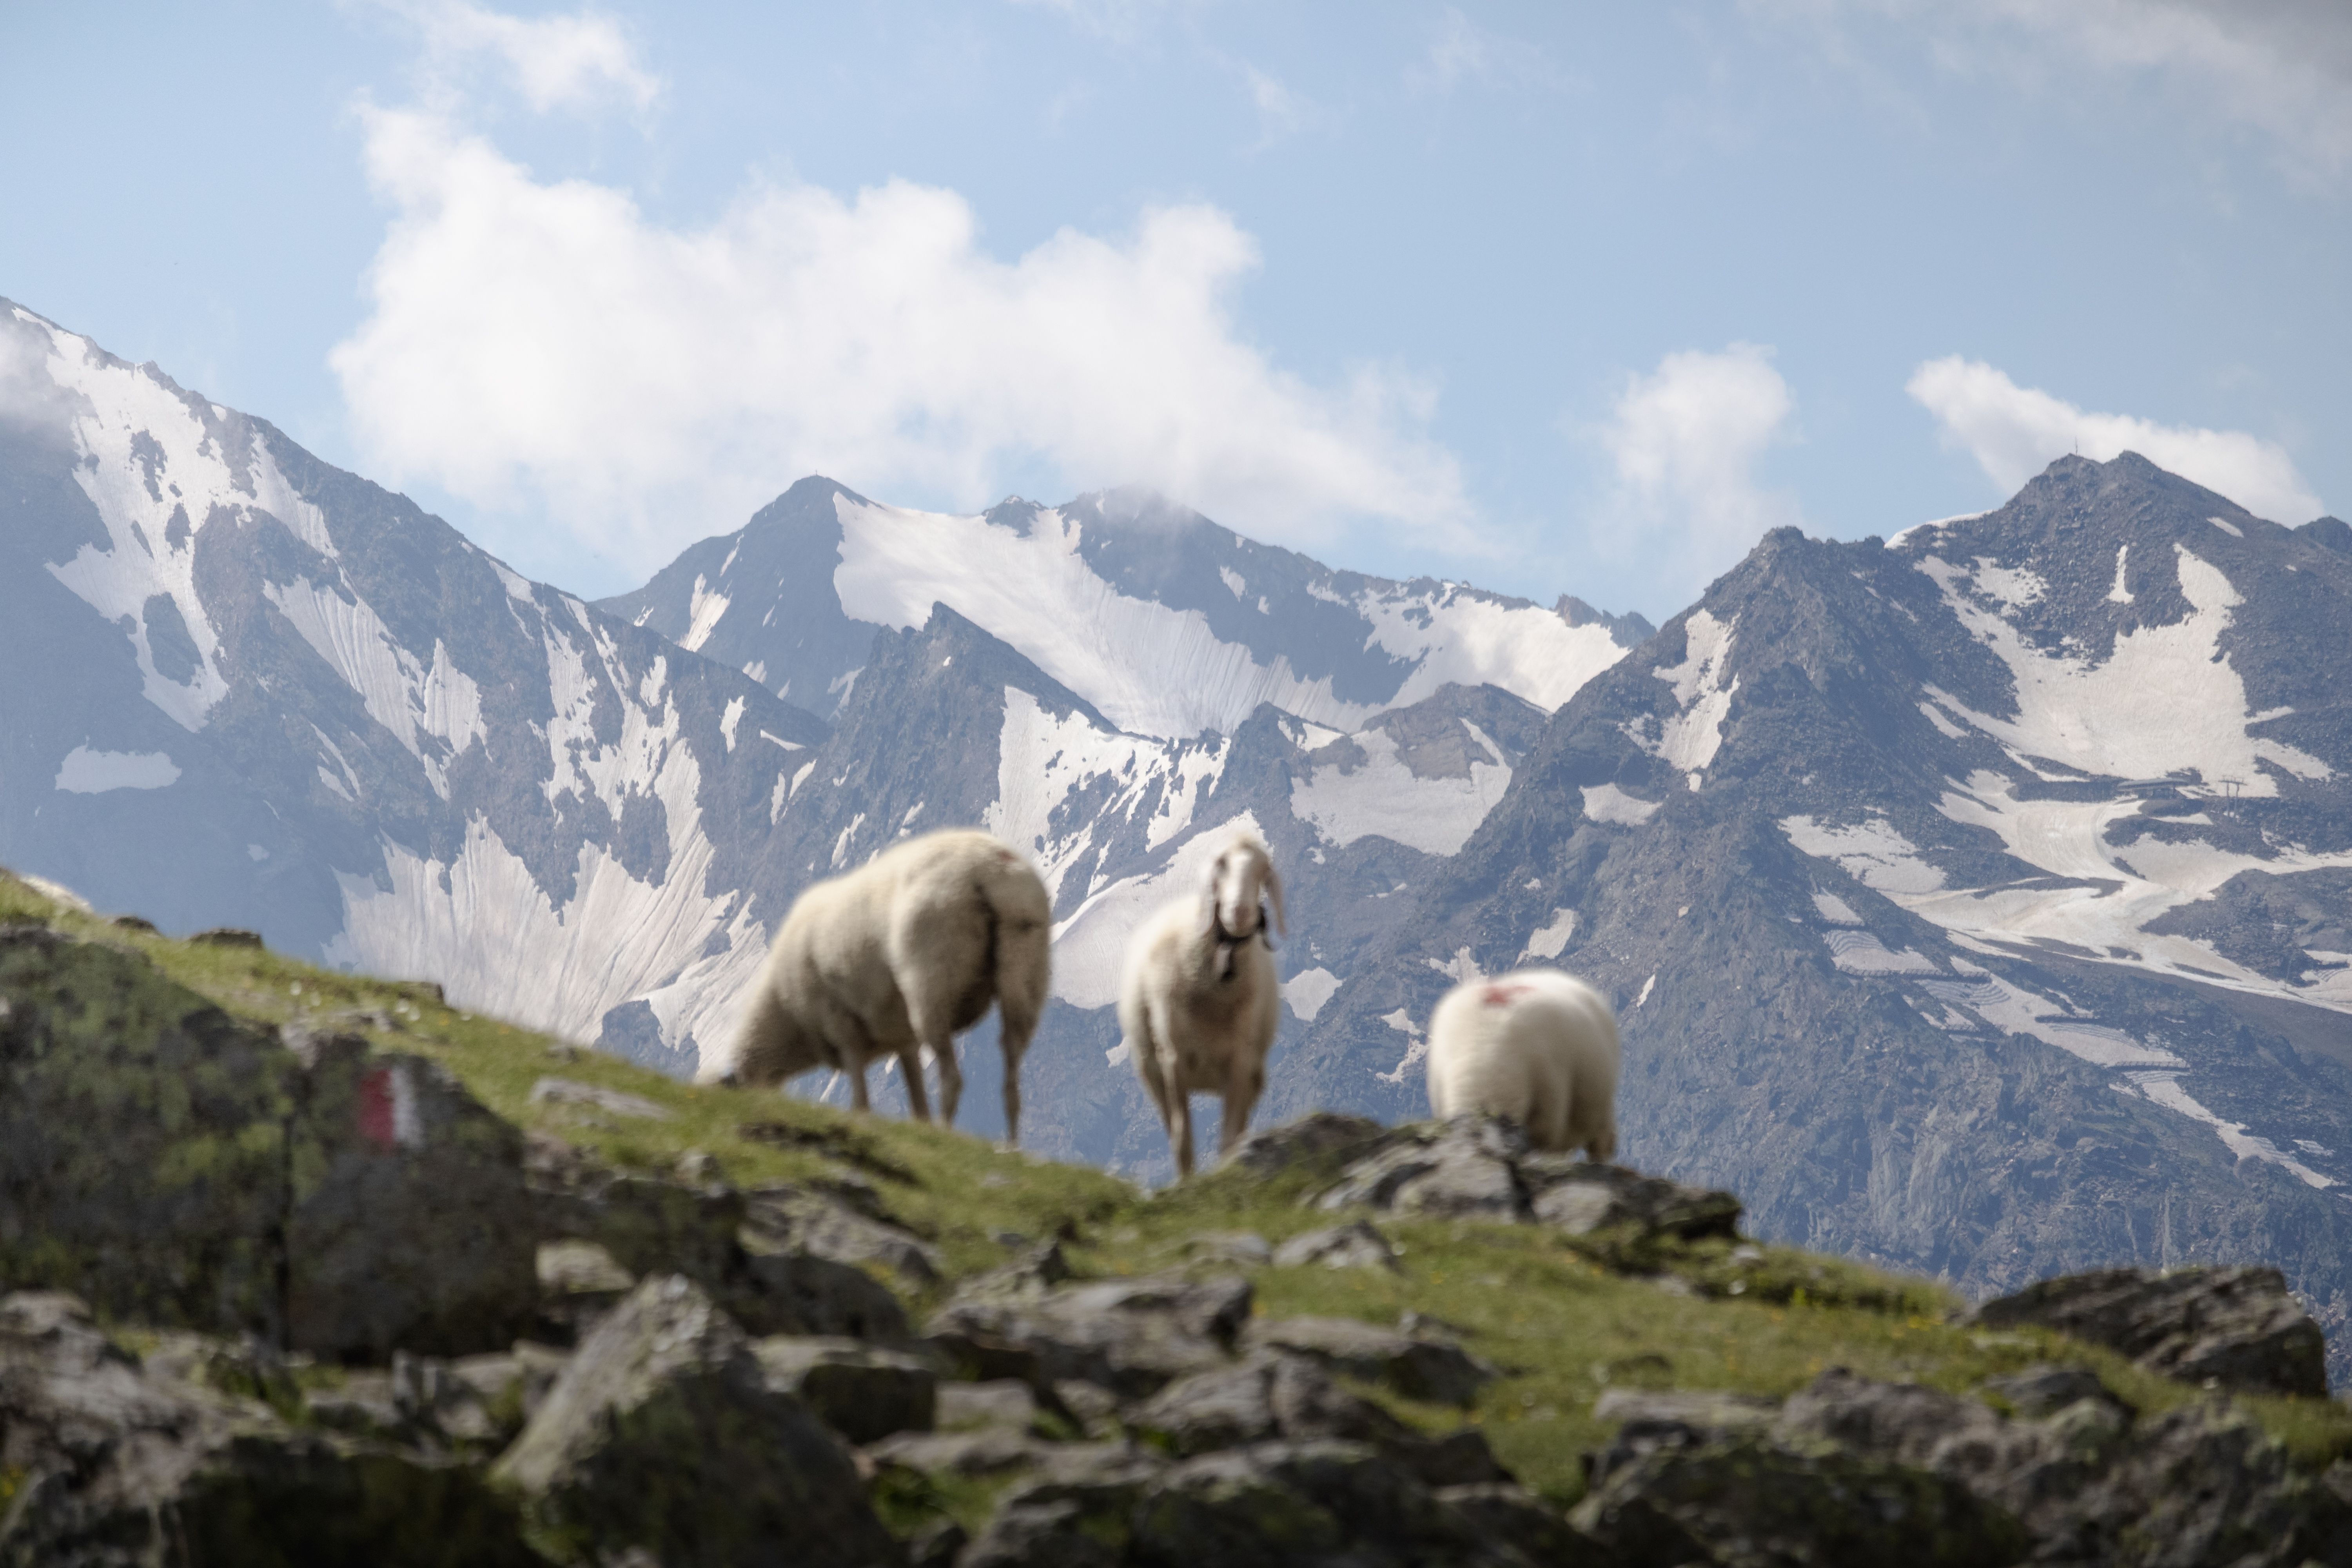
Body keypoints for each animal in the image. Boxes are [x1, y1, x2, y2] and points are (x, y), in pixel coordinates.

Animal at [707, 829, 1052, 1143]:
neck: (788, 1015)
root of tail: (991, 870)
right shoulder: (902, 1037)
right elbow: (917, 1100)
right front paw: (920, 1129)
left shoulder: (841, 1024)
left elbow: (861, 1100)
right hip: (1025, 969)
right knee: (1011, 1079)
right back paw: (1011, 1149)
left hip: (932, 981)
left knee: (952, 1078)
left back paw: (946, 1135)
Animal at [1119, 828, 1287, 1179]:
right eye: (1221, 864)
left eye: (1264, 871)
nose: (1241, 912)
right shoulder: (1173, 1060)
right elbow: (1183, 1138)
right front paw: (1187, 1183)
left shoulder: (1240, 1063)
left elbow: (1229, 1138)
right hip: (1150, 1071)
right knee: (1172, 1129)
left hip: (1254, 1077)